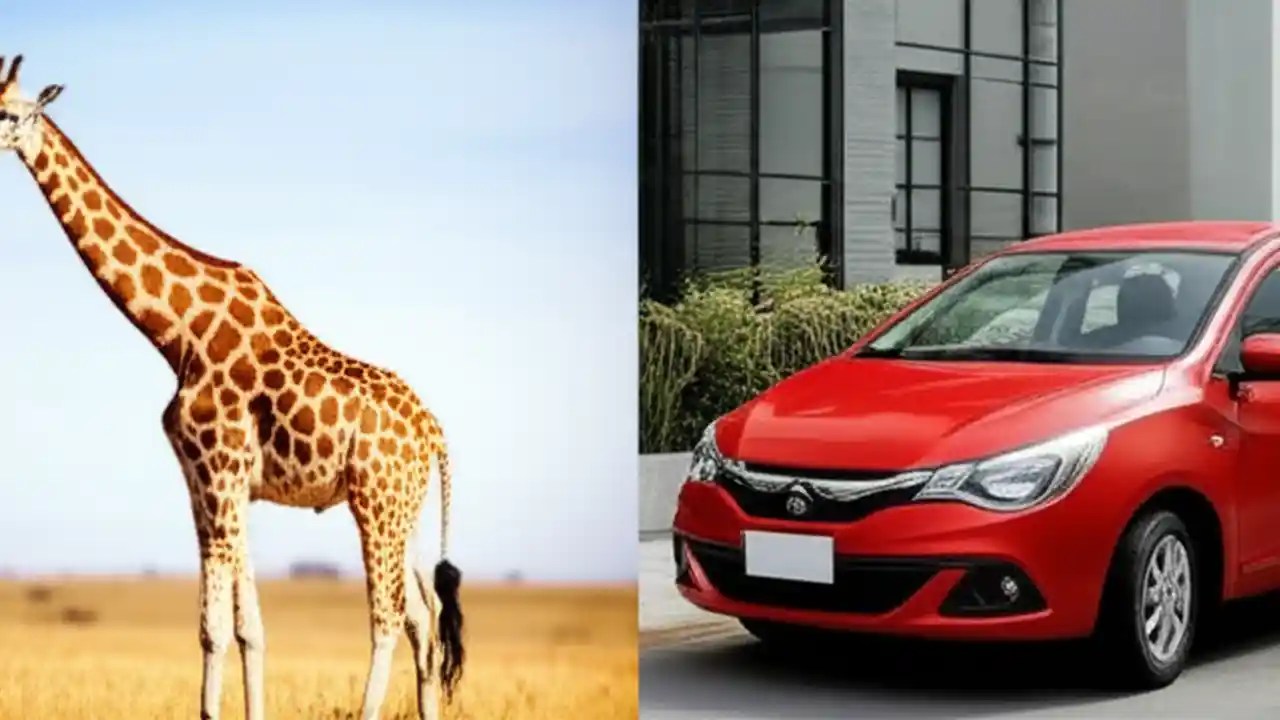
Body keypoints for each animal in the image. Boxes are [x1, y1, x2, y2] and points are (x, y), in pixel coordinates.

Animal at [0, 55, 465, 720]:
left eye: (10, 114)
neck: (177, 335)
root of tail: (434, 432)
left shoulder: (219, 472)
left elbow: (217, 627)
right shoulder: (215, 483)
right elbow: (246, 629)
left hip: (375, 502)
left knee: (387, 617)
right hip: (406, 510)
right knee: (424, 619)